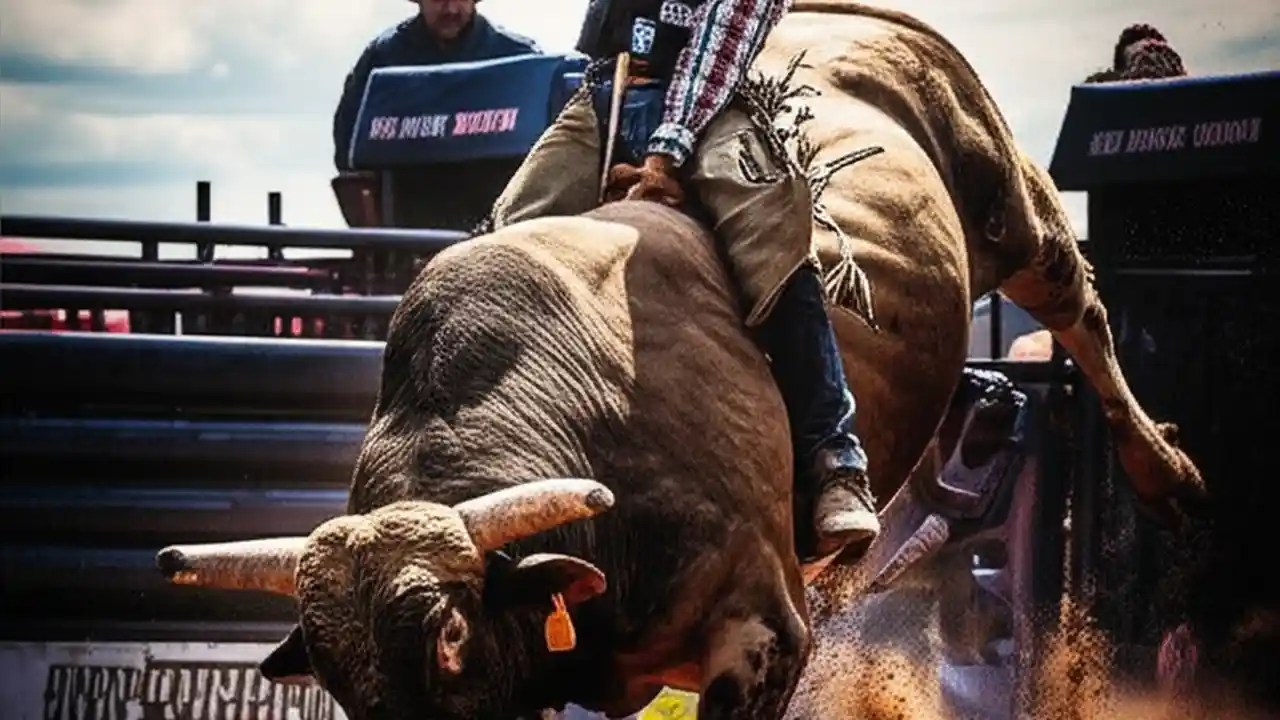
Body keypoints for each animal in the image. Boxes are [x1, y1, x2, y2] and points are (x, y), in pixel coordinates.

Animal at [153, 2, 1205, 718]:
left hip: (1007, 198)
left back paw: (1168, 475)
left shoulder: (765, 634)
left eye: (449, 634)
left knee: (1082, 312)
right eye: (338, 677)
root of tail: (851, 16)